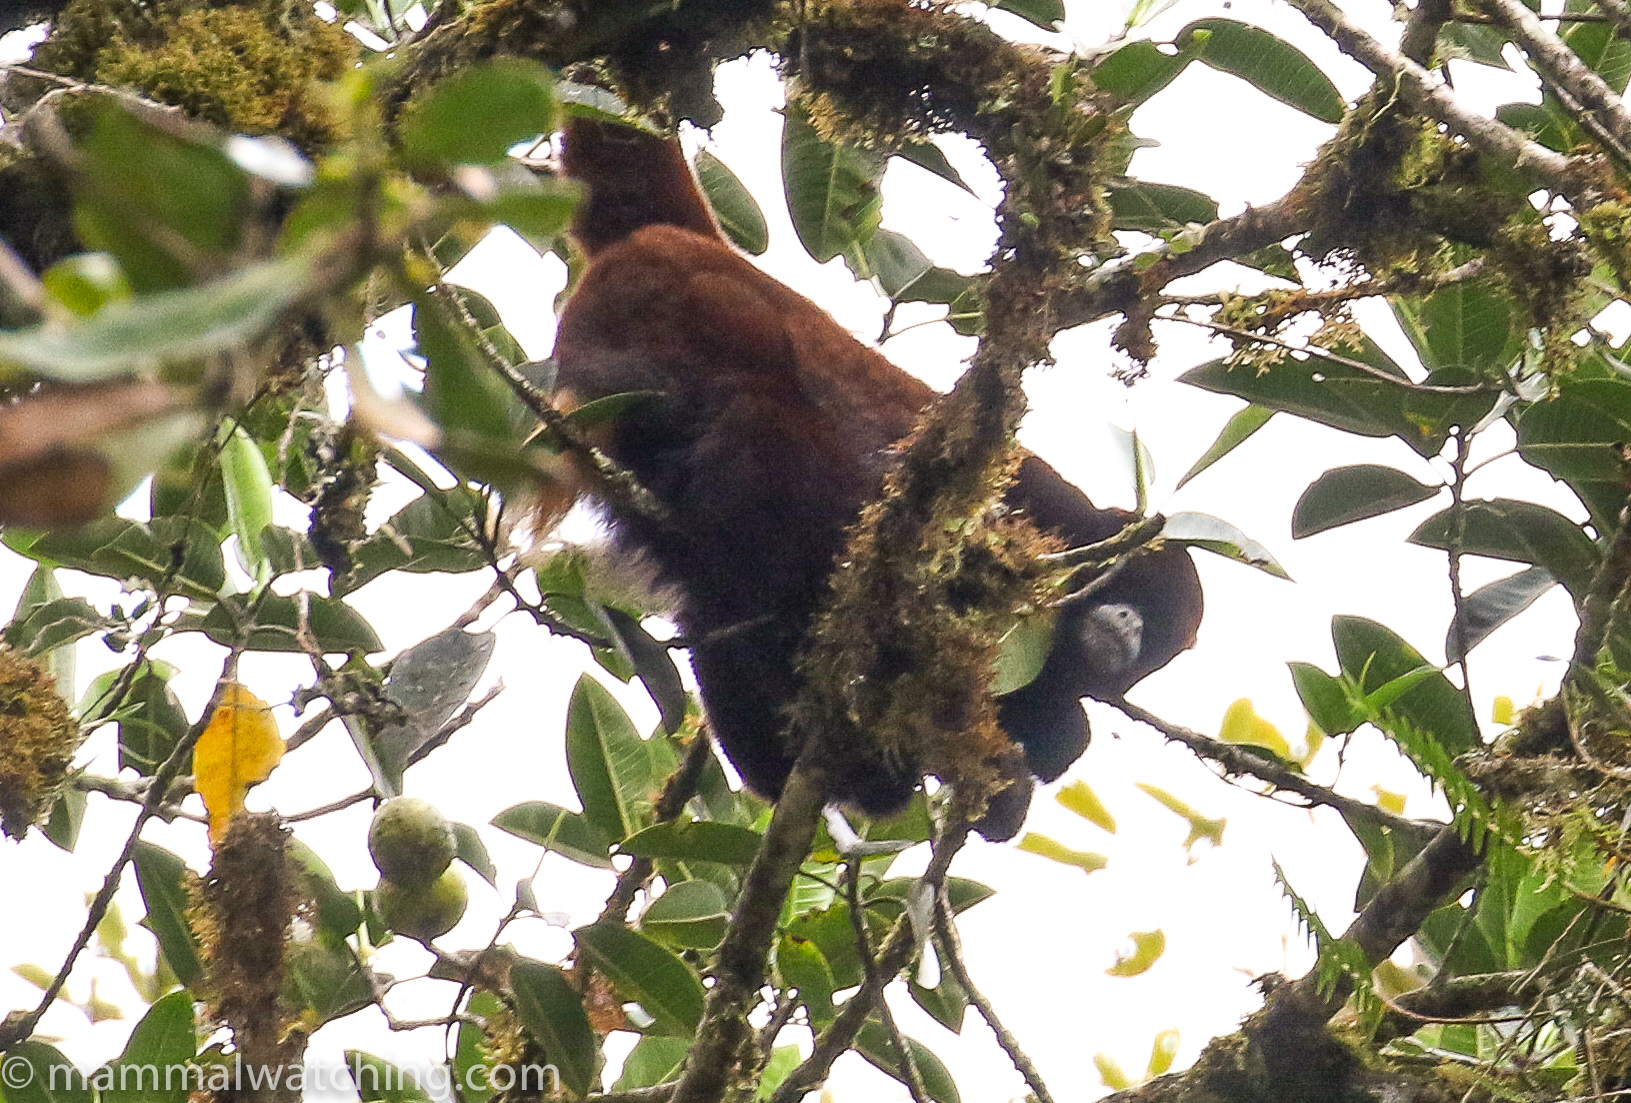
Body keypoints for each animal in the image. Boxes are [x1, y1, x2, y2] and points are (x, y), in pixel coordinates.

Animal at [544, 117, 1203, 840]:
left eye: (1155, 643)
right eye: (1138, 594)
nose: (1130, 630)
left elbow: (1057, 722)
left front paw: (1046, 740)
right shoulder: (1040, 504)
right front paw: (996, 768)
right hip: (675, 309)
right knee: (770, 441)